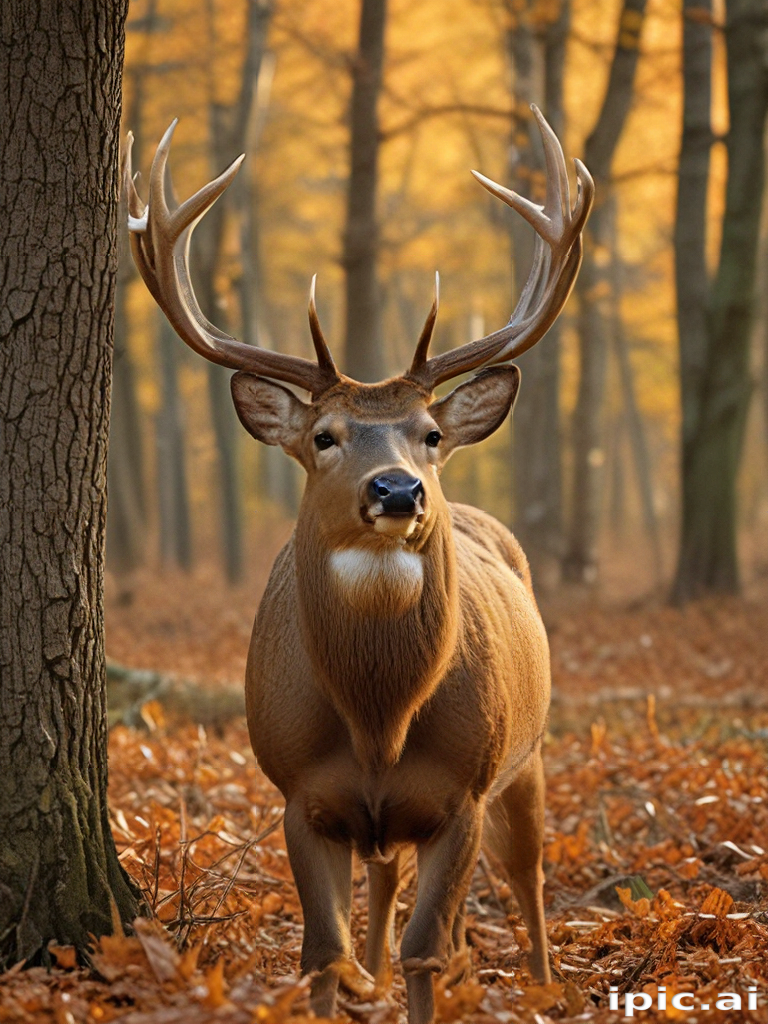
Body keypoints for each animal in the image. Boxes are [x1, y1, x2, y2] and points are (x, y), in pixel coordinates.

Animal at [124, 107, 593, 1024]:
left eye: (432, 433)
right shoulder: (299, 793)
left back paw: (545, 981)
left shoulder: (464, 791)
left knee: (526, 874)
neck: (379, 720)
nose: (399, 488)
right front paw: (355, 978)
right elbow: (323, 954)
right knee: (384, 879)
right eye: (323, 436)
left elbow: (428, 950)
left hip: (528, 757)